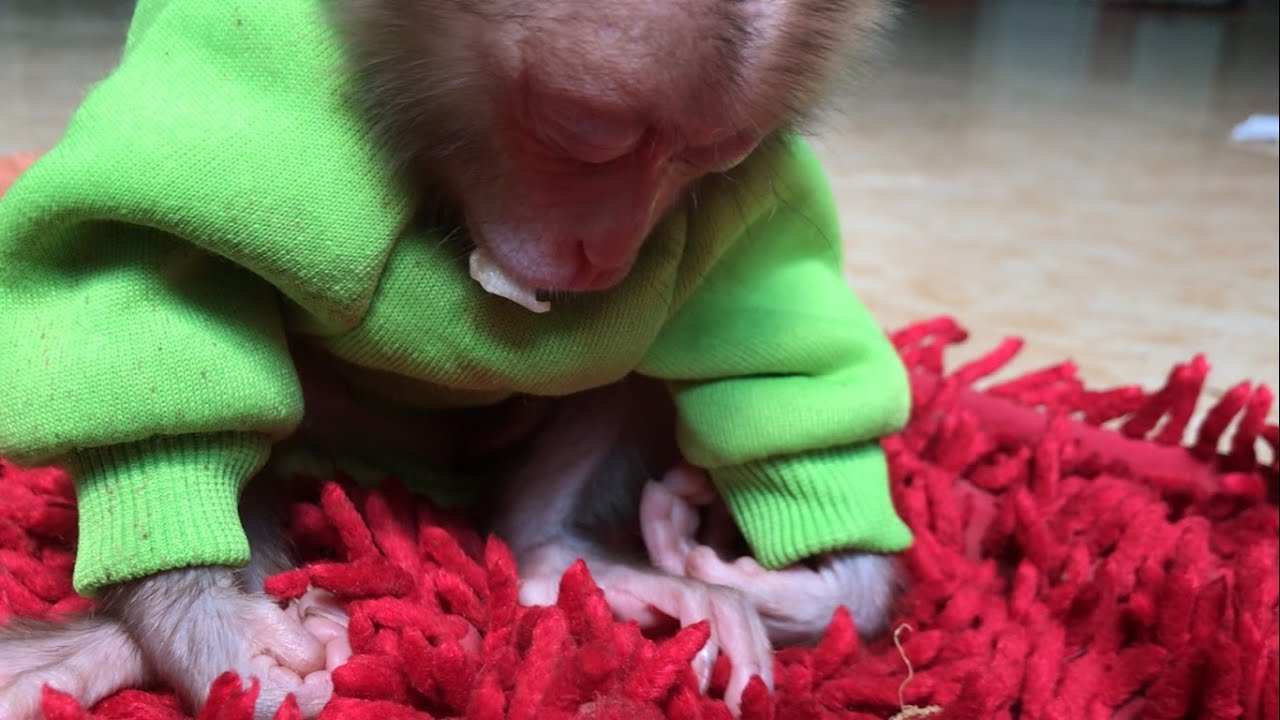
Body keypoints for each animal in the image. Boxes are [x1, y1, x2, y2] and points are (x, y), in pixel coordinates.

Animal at [0, 0, 909, 718]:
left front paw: (821, 590)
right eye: (585, 139)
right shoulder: (265, 107)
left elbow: (767, 343)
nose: (607, 251)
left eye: (706, 155)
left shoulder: (744, 197)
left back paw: (559, 557)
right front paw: (213, 629)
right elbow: (145, 283)